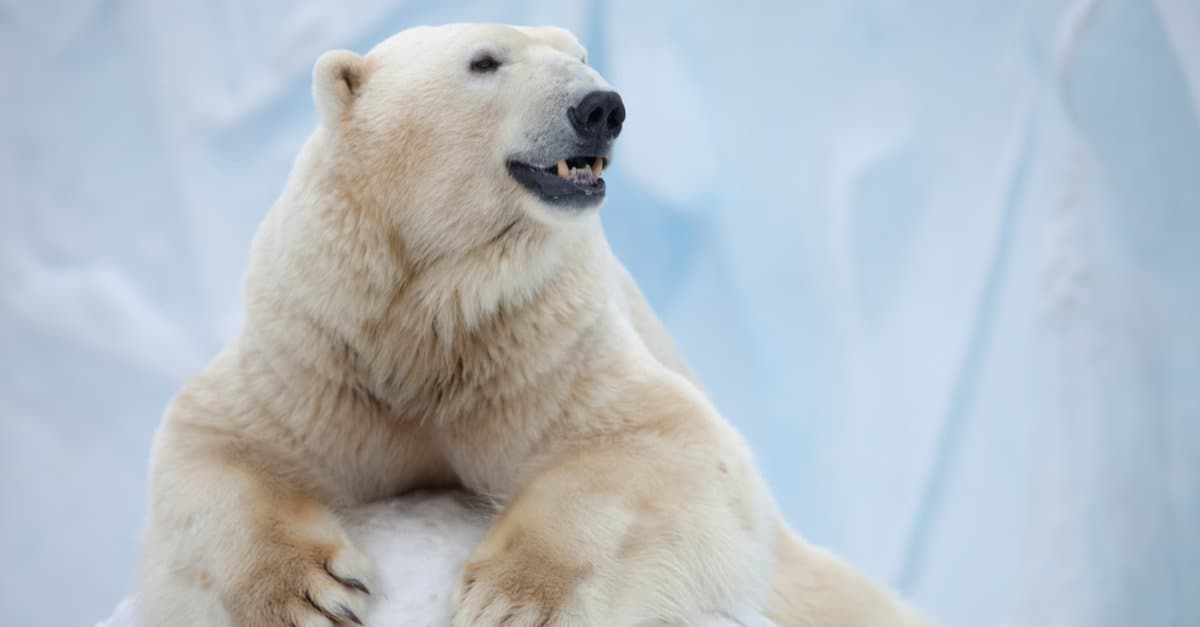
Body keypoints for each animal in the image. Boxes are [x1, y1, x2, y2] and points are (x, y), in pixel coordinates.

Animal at [134, 23, 932, 627]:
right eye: (484, 61)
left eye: (579, 54)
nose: (602, 106)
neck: (433, 308)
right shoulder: (319, 345)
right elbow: (219, 442)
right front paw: (309, 595)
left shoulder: (543, 345)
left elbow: (659, 445)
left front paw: (511, 600)